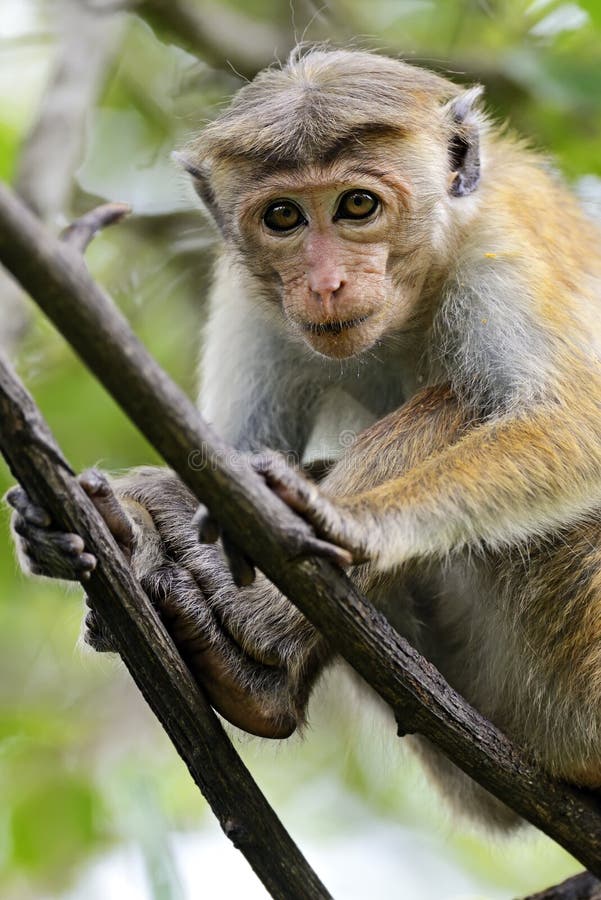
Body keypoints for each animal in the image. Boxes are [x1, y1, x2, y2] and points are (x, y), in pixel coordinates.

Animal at [7, 45, 601, 830]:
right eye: (283, 216)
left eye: (358, 206)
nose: (323, 284)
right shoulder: (254, 293)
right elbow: (230, 455)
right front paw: (97, 524)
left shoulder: (502, 251)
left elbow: (576, 426)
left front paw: (353, 522)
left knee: (460, 401)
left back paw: (260, 629)